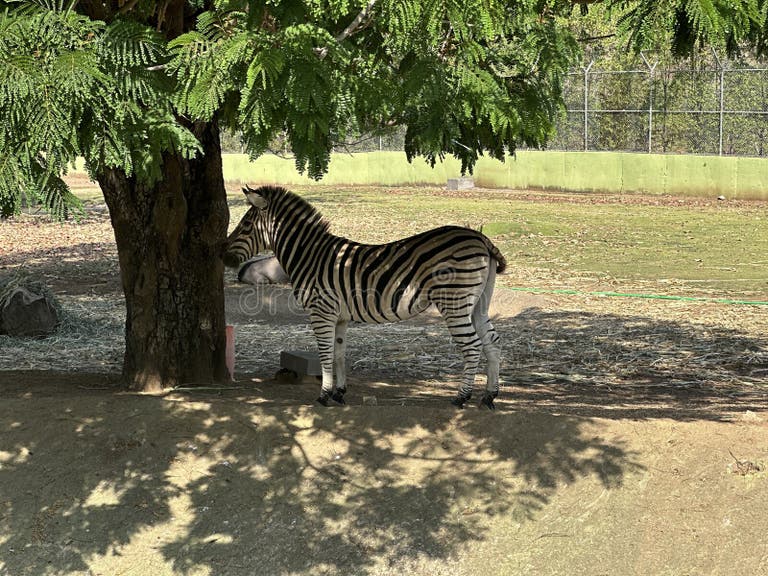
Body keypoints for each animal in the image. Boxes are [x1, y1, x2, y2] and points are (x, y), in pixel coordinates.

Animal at [223, 185, 506, 409]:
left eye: (245, 225)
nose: (221, 255)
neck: (310, 256)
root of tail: (481, 238)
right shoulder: (339, 316)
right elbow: (339, 353)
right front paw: (339, 393)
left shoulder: (321, 311)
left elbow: (325, 353)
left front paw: (323, 396)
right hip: (478, 304)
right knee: (491, 341)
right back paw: (489, 396)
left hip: (454, 302)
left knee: (473, 345)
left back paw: (462, 397)